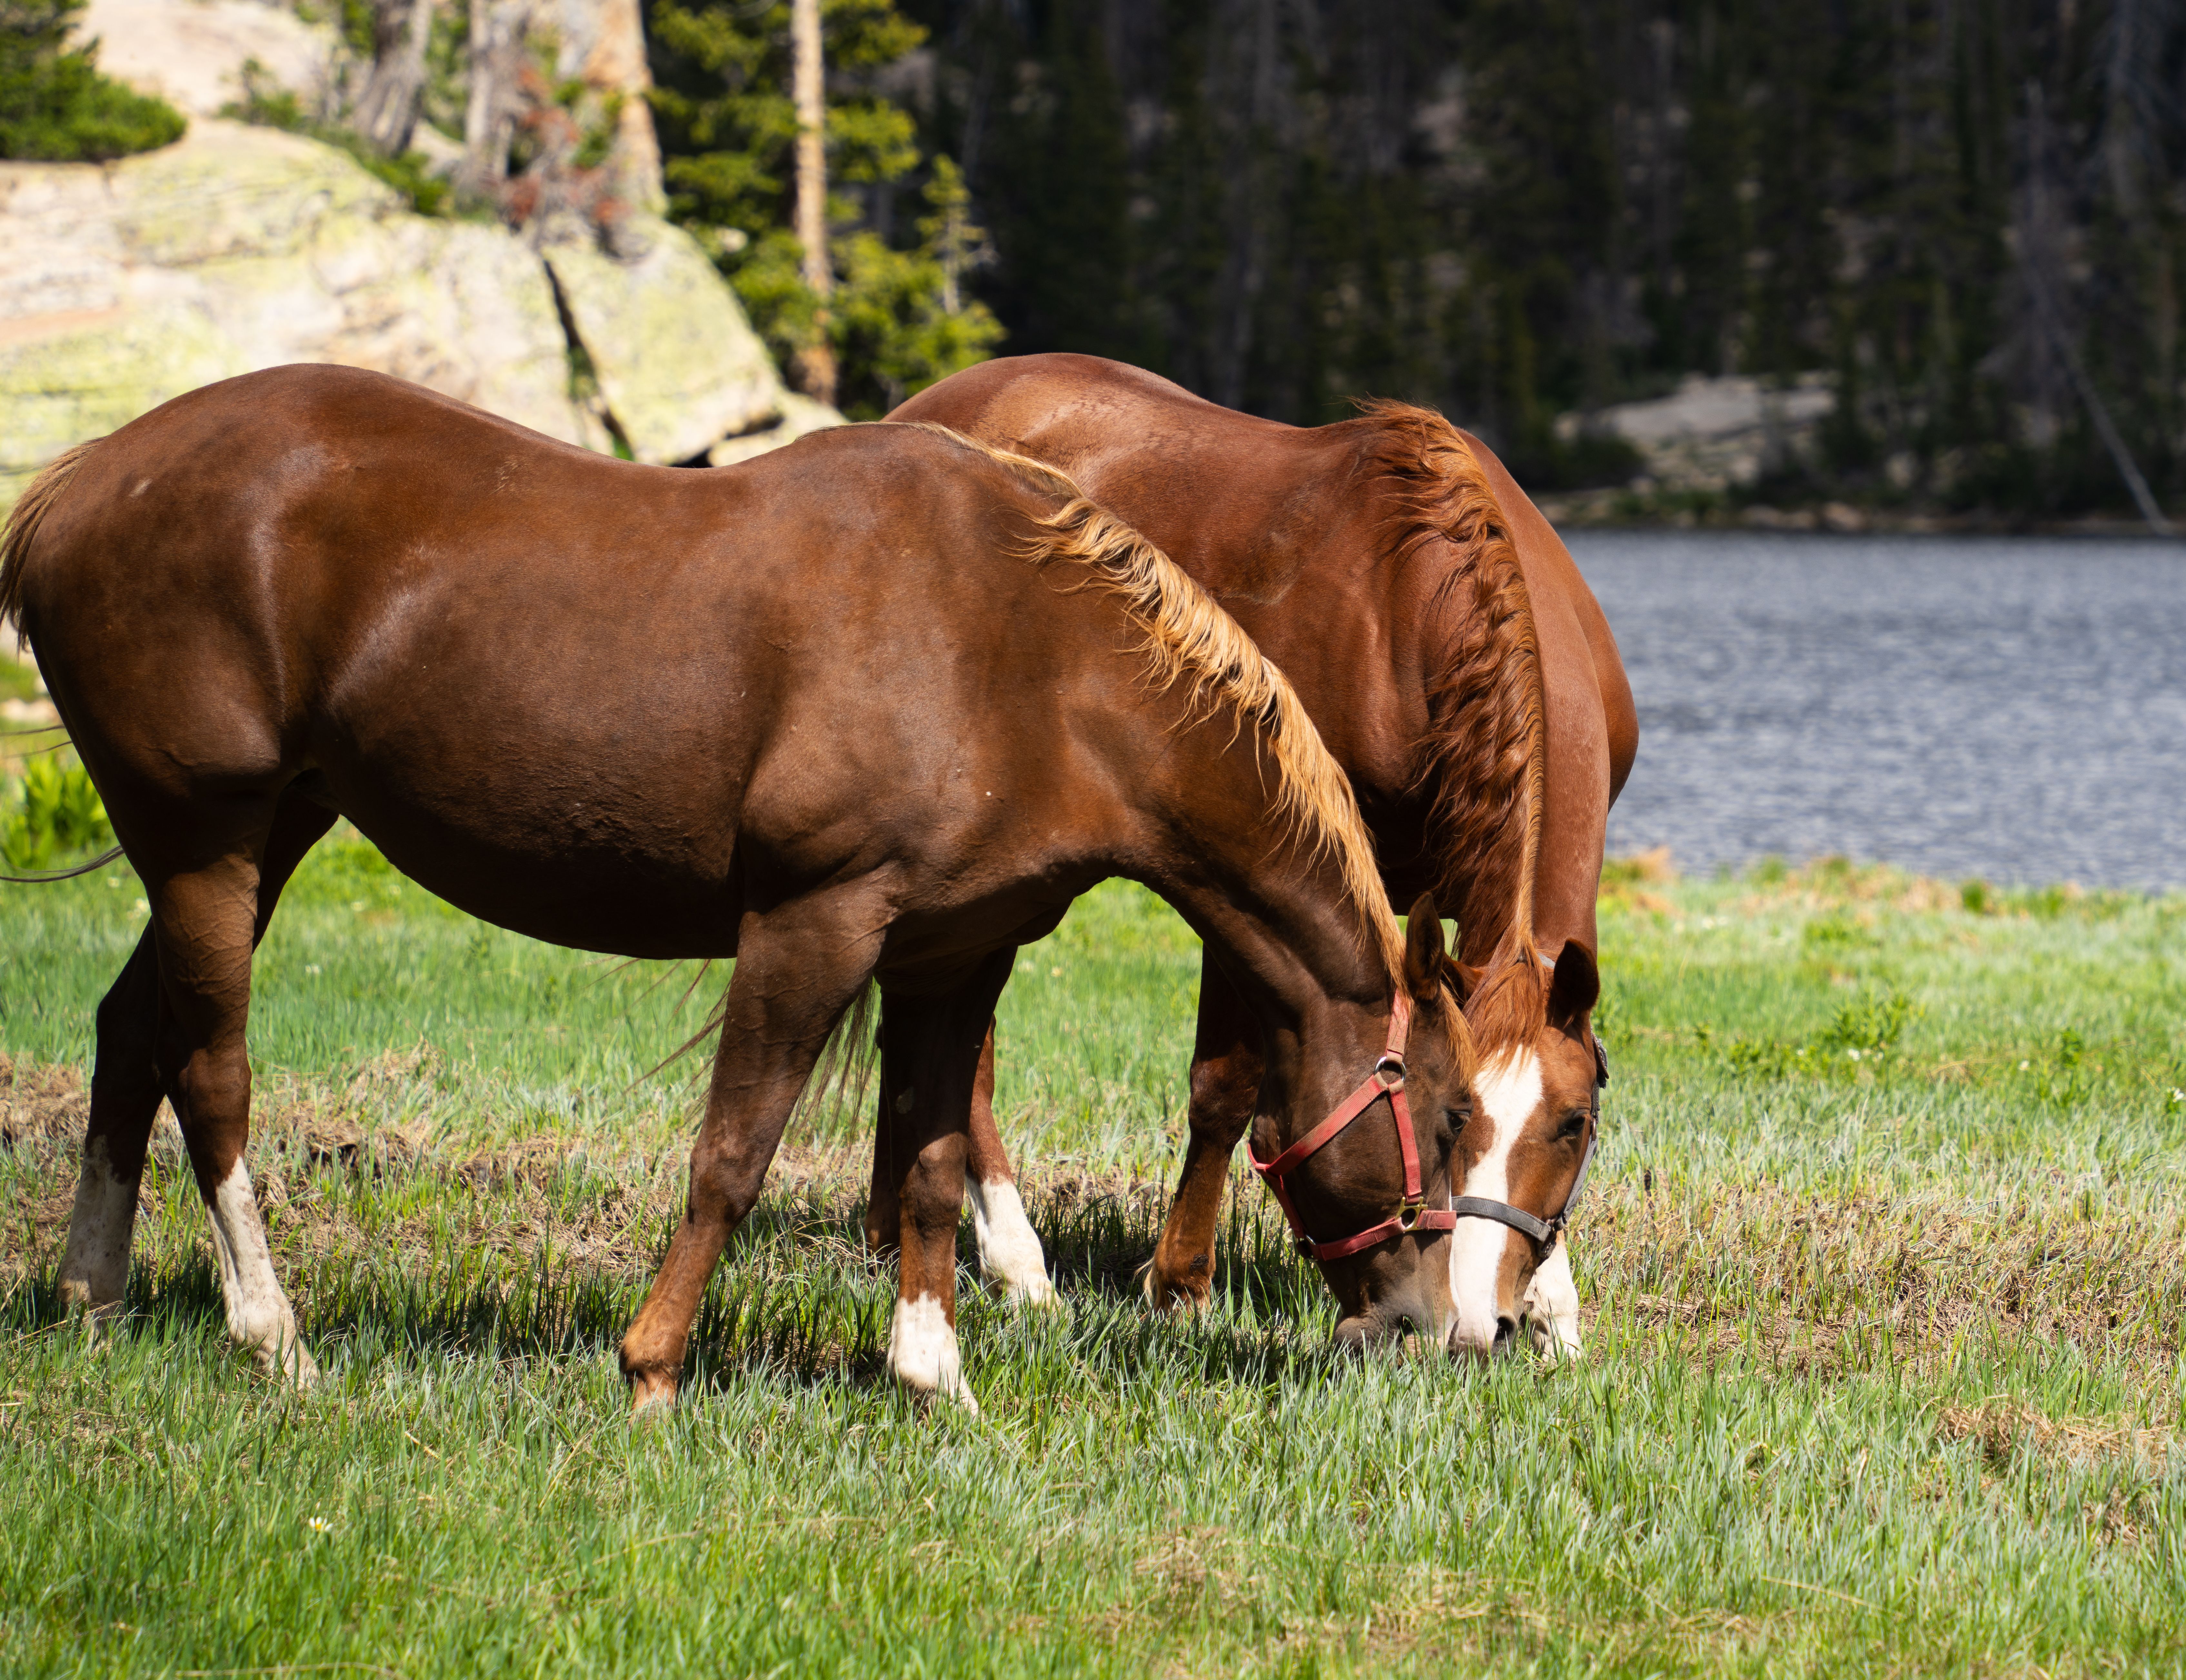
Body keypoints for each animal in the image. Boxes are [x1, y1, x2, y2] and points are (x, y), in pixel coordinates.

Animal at [0, 364, 1484, 1407]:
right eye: (1452, 1119)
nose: (1431, 1332)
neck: (1029, 656)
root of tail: (75, 490)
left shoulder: (949, 956)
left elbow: (933, 1164)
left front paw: (932, 1374)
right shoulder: (811, 924)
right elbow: (732, 1155)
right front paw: (653, 1366)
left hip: (267, 834)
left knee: (132, 1031)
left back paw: (90, 1295)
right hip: (207, 839)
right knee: (211, 1071)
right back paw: (272, 1333)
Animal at [887, 353, 1638, 1359]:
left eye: (1571, 1123)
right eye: (1453, 1120)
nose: (1480, 1325)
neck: (1414, 607)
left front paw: (1556, 1306)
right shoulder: (1264, 883)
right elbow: (1225, 1087)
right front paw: (1179, 1286)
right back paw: (1019, 1266)